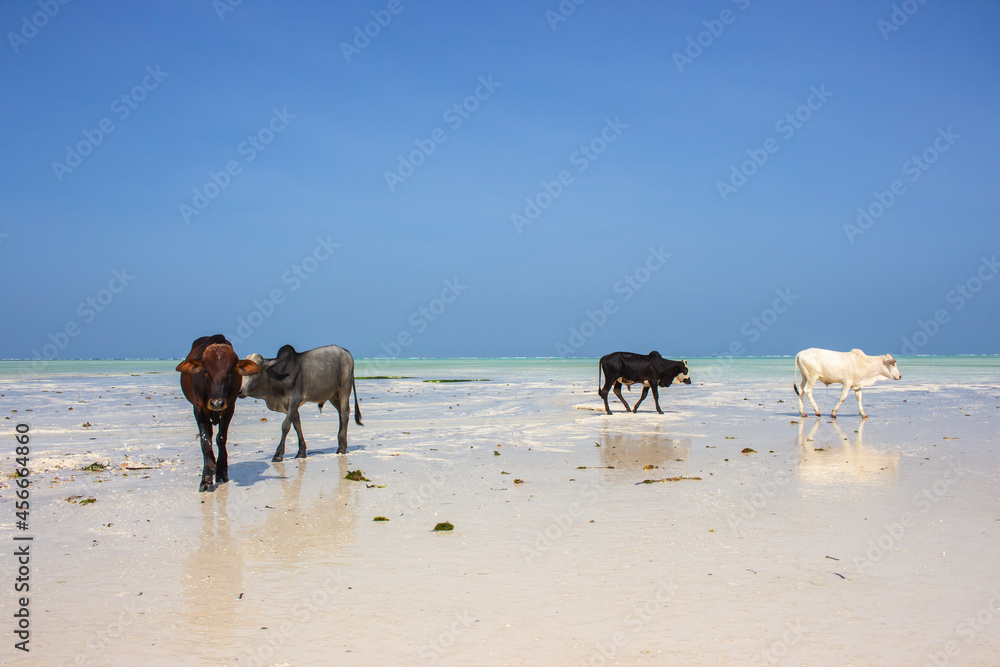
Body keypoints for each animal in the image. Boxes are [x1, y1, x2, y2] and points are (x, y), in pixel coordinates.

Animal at [176, 334, 261, 492]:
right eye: (205, 371)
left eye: (231, 372)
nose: (216, 403)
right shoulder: (199, 408)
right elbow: (205, 441)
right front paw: (206, 479)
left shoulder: (229, 407)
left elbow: (221, 438)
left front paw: (221, 473)